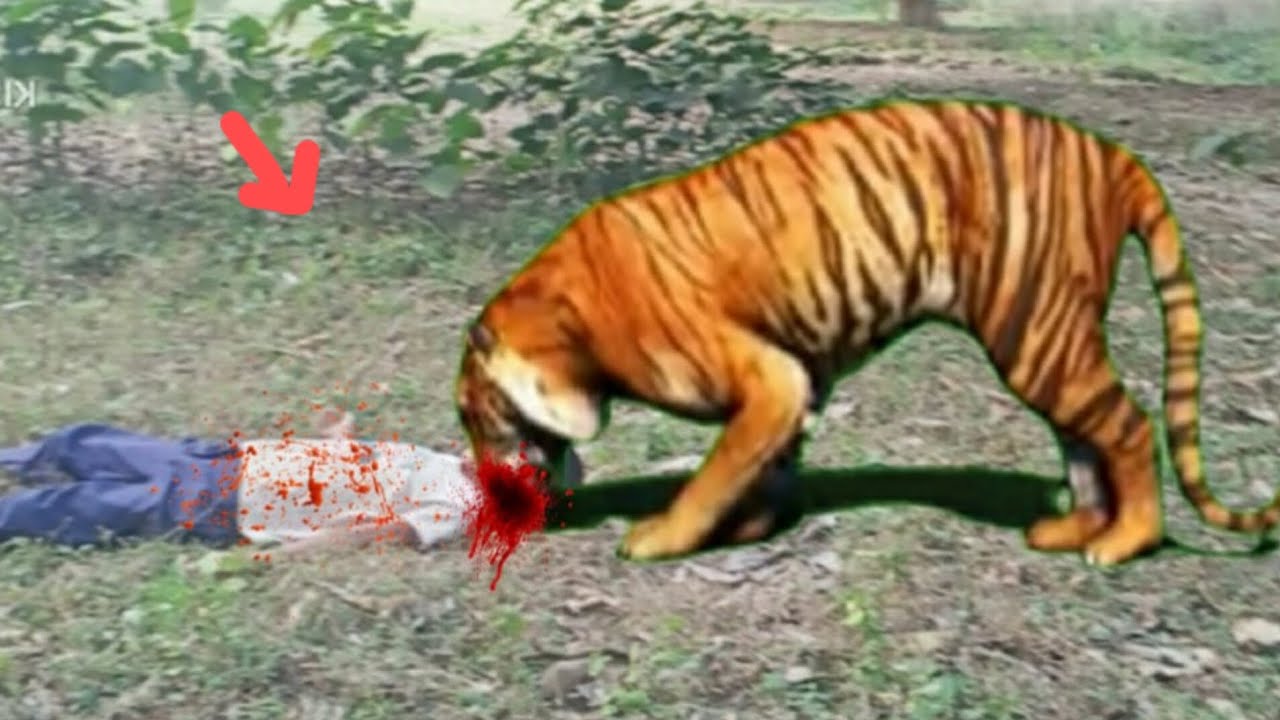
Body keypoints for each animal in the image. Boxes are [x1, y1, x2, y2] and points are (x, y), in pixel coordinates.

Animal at [454, 98, 1280, 566]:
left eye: (472, 415)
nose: (484, 483)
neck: (569, 327)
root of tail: (1111, 153)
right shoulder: (794, 379)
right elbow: (761, 463)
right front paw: (750, 527)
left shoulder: (771, 377)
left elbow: (719, 469)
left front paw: (660, 536)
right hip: (1051, 341)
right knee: (1085, 441)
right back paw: (1071, 530)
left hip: (1036, 332)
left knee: (1131, 428)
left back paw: (1121, 545)